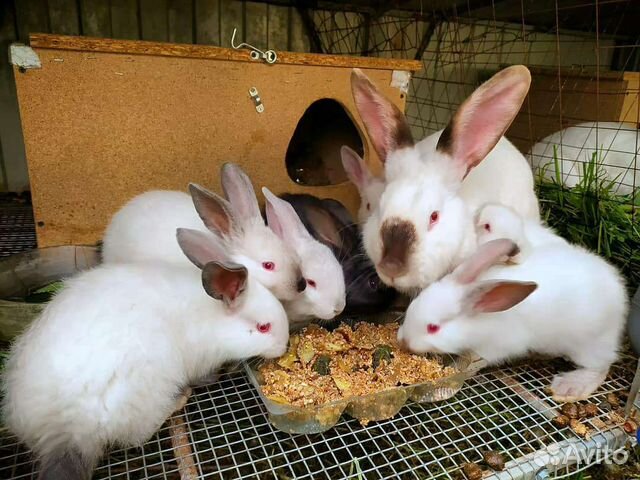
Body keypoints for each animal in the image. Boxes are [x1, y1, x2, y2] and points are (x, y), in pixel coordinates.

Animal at [2, 228, 289, 480]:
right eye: (263, 327)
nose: (284, 346)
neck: (213, 318)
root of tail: (64, 428)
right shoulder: (201, 361)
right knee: (141, 433)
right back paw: (180, 399)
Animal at [398, 238, 628, 402]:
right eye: (411, 307)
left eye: (433, 328)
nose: (404, 341)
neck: (479, 320)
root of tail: (619, 292)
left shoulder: (497, 347)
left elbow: (479, 360)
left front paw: (467, 369)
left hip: (588, 345)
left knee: (602, 366)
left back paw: (570, 386)